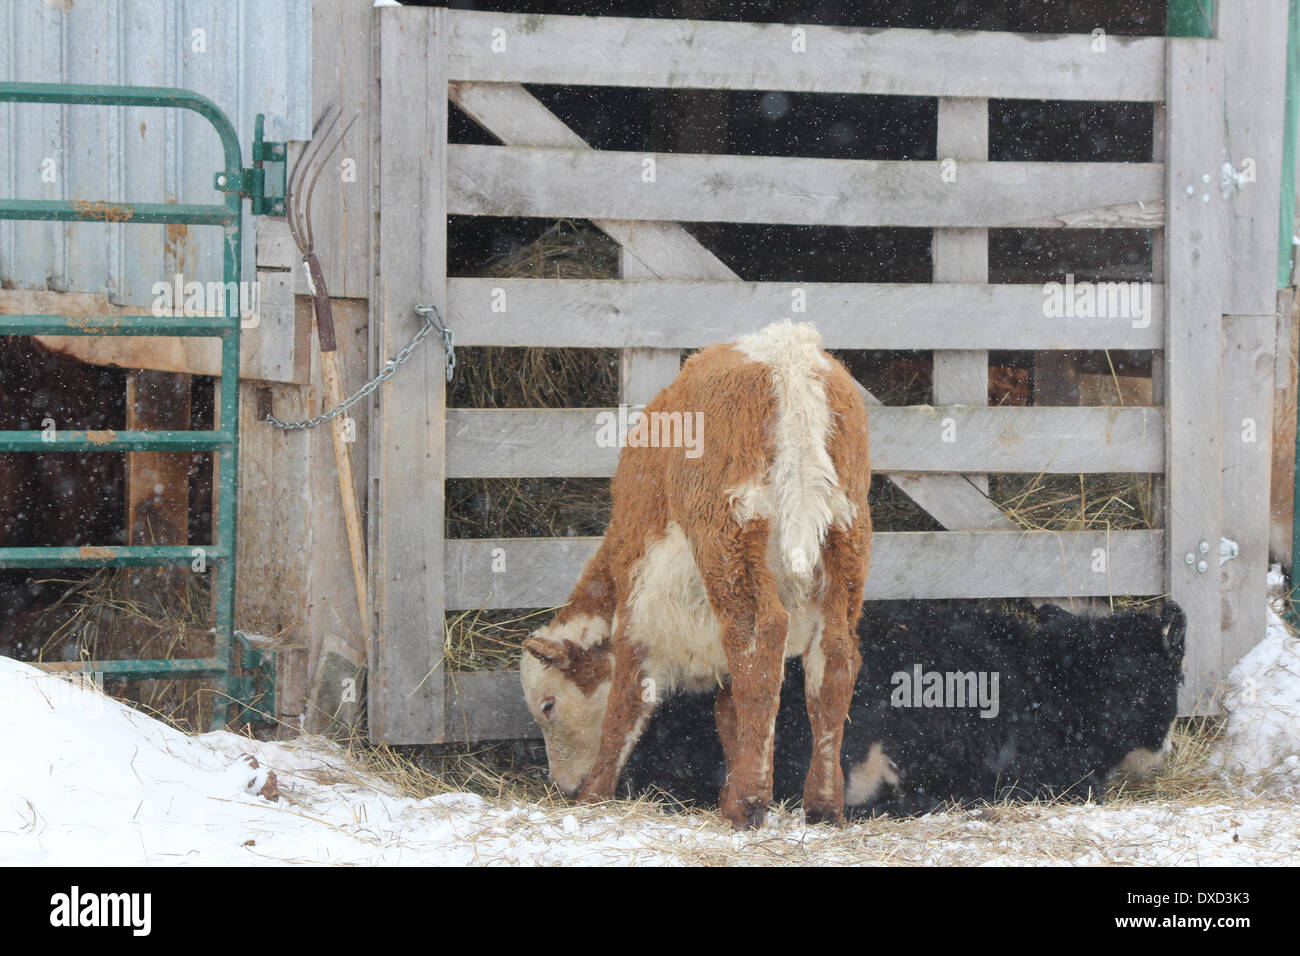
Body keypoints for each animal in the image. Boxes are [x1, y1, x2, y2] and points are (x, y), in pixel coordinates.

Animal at [519, 321, 872, 829]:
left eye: (548, 705)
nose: (561, 787)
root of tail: (787, 349)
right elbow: (730, 712)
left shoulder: (640, 608)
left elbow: (626, 701)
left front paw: (596, 794)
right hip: (847, 537)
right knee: (834, 659)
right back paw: (822, 803)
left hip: (728, 534)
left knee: (760, 636)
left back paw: (749, 802)